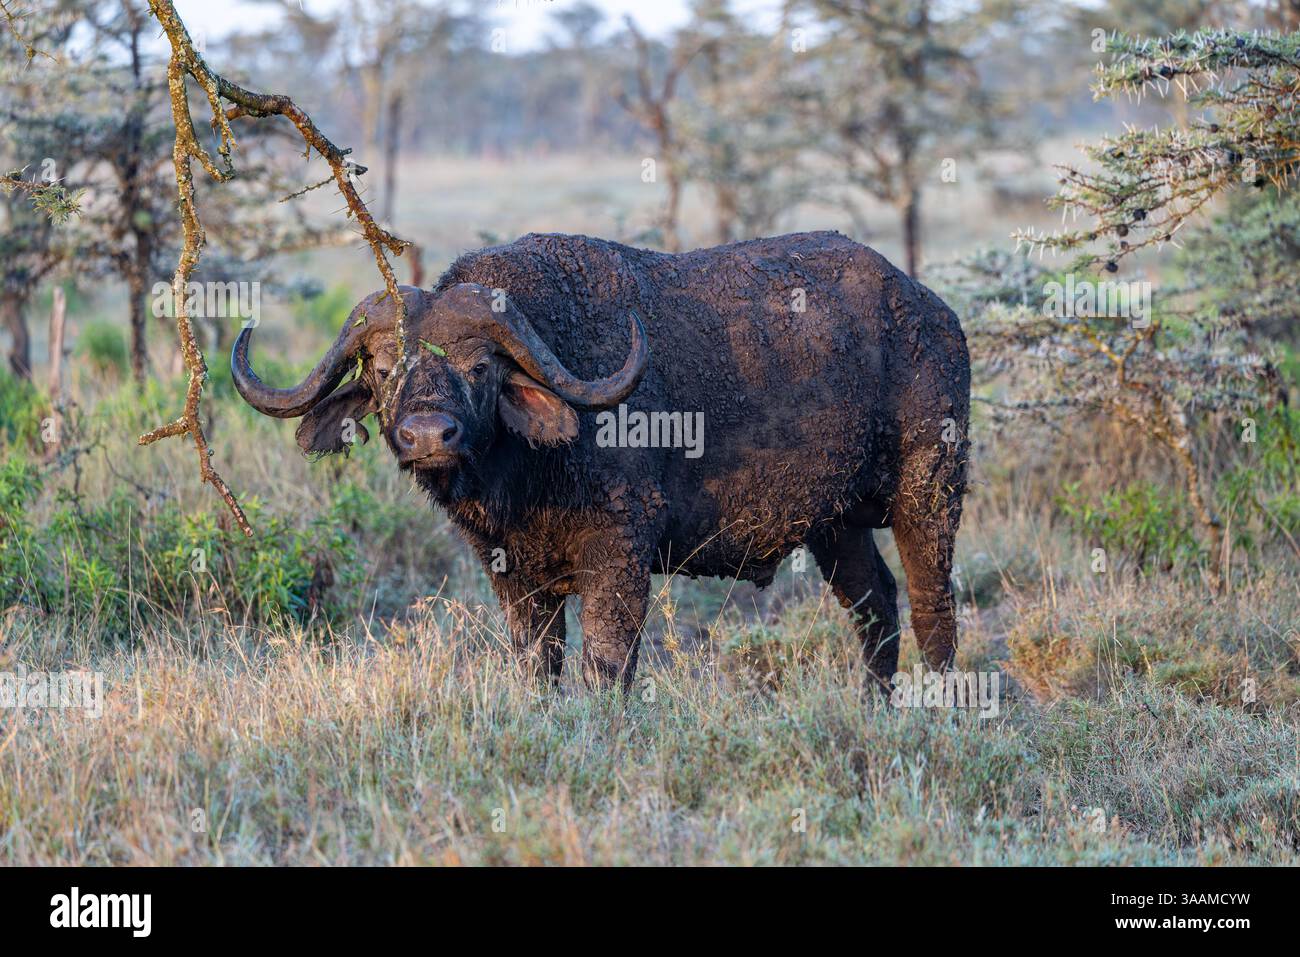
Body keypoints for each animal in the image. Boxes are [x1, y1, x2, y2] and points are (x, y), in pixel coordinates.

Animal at [232, 231, 970, 690]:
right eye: (385, 370)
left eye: (479, 367)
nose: (429, 435)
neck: (527, 474)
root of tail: (931, 309)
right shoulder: (512, 571)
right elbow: (538, 662)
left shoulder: (620, 551)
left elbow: (609, 662)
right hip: (834, 522)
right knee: (875, 606)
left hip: (930, 492)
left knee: (933, 608)